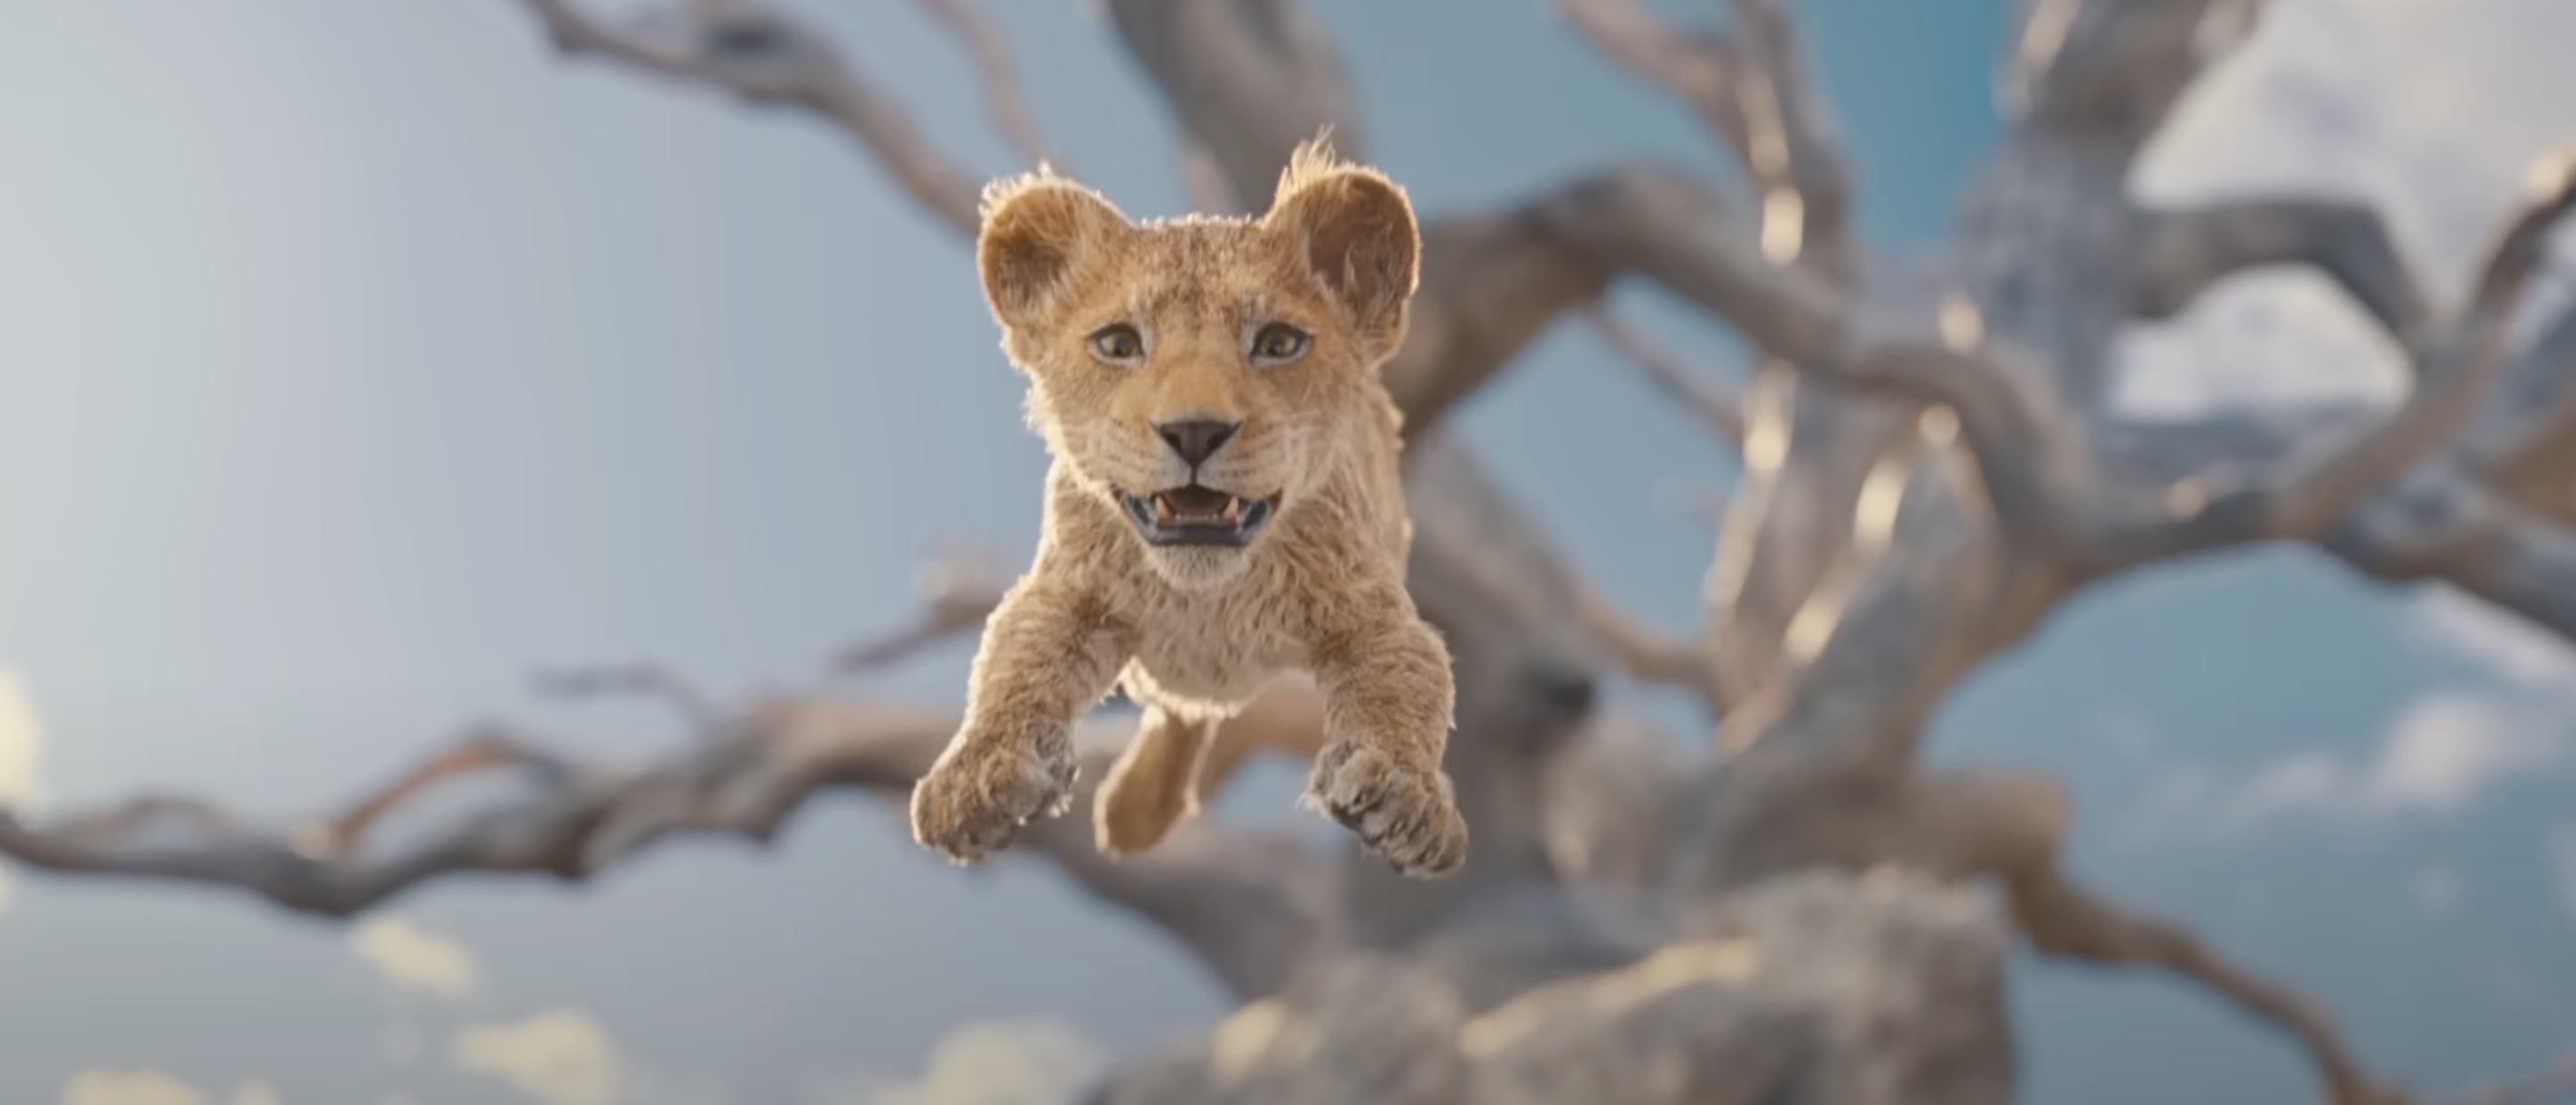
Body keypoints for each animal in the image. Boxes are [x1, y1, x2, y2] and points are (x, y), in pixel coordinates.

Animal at [905, 139, 1469, 879]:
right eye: (1118, 344)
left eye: (1279, 343)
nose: (1195, 432)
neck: (1208, 596)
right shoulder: (1070, 592)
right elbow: (1013, 661)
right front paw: (978, 776)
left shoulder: (1372, 611)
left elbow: (1407, 681)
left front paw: (1403, 794)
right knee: (1175, 714)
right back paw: (1134, 810)